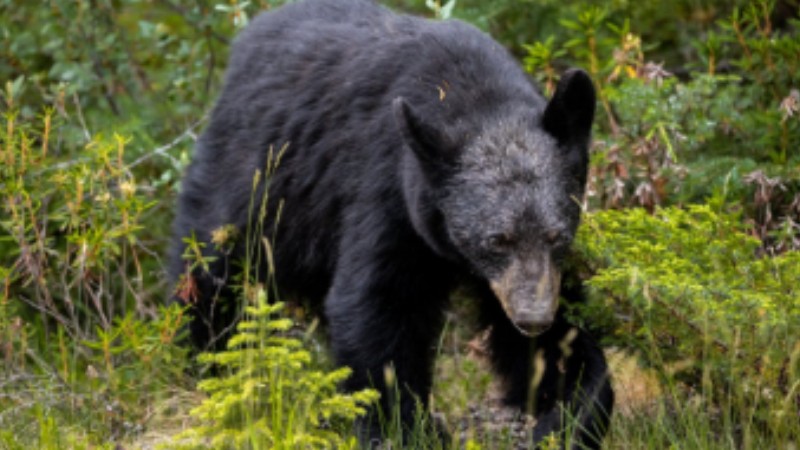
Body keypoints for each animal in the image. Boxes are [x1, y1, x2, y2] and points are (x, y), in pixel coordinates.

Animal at [170, 0, 612, 446]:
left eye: (557, 236)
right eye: (496, 240)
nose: (533, 317)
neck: (474, 95)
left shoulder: (530, 273)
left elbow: (556, 342)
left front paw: (569, 411)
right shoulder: (387, 192)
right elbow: (378, 304)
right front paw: (402, 427)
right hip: (254, 183)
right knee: (210, 273)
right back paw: (208, 364)